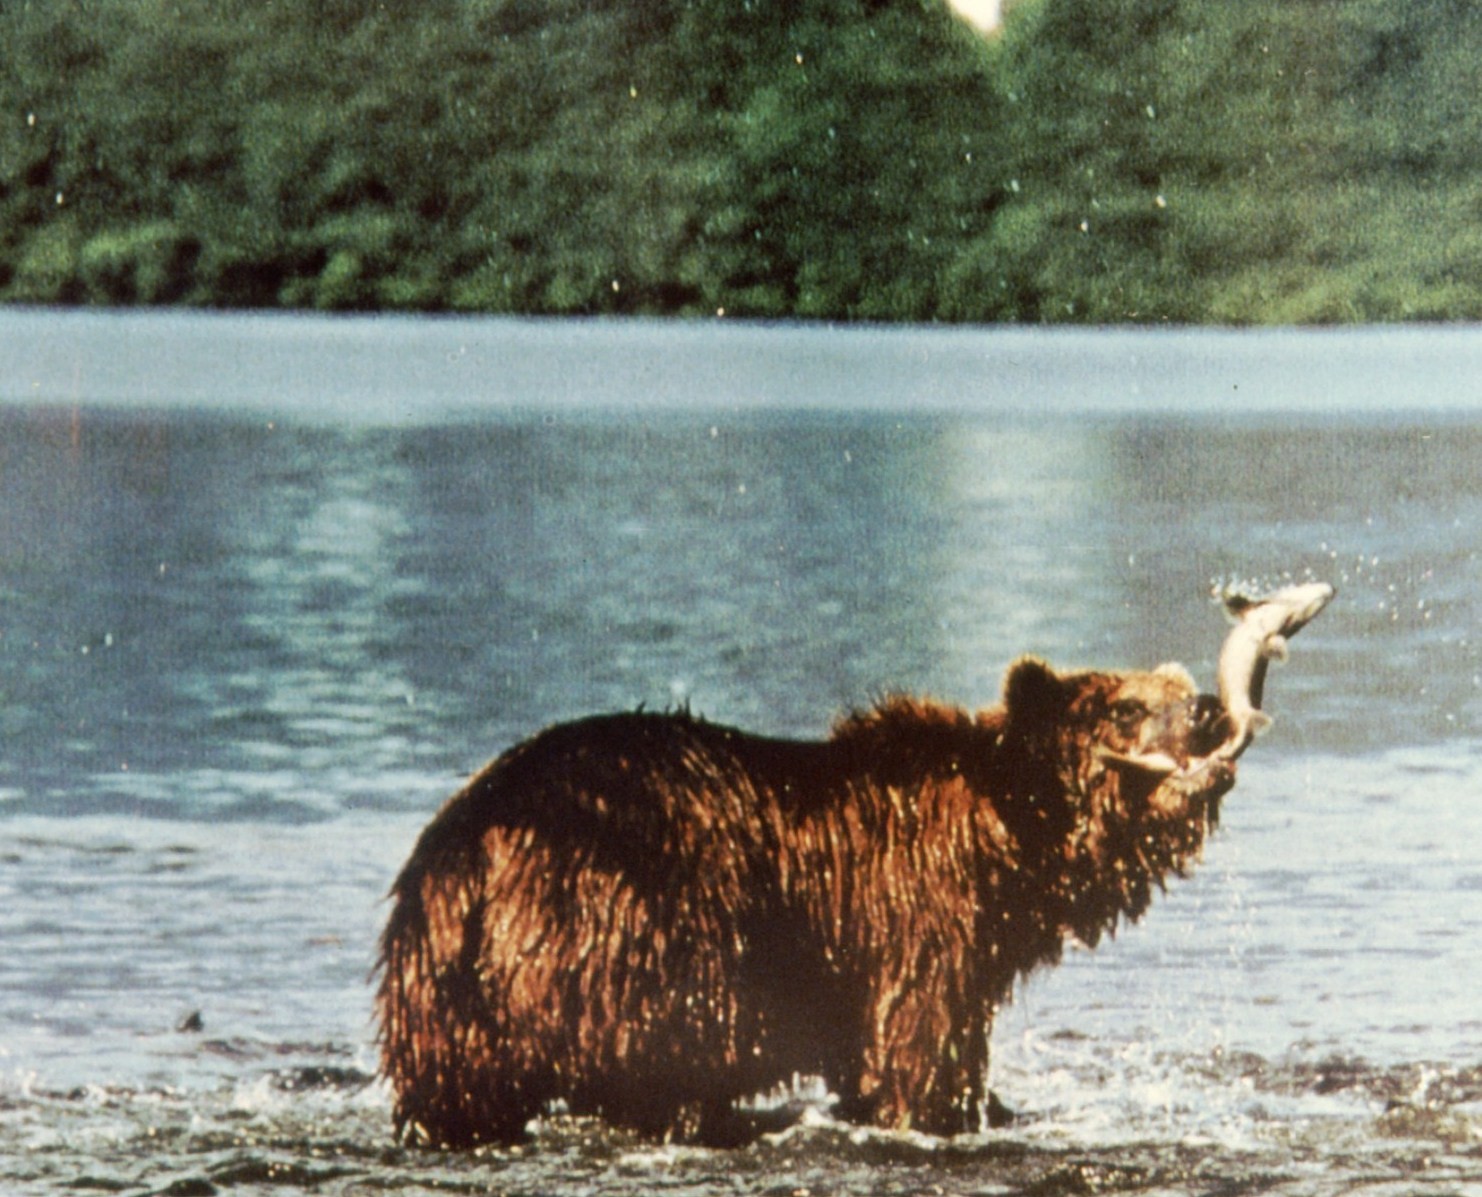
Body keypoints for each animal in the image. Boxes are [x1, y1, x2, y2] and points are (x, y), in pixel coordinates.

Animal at [375, 655, 1245, 1148]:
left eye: (1177, 686)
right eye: (1127, 706)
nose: (1209, 709)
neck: (1008, 839)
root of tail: (468, 850)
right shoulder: (919, 919)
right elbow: (916, 1046)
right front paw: (951, 1109)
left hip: (439, 991)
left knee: (454, 1090)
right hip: (621, 920)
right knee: (662, 1052)